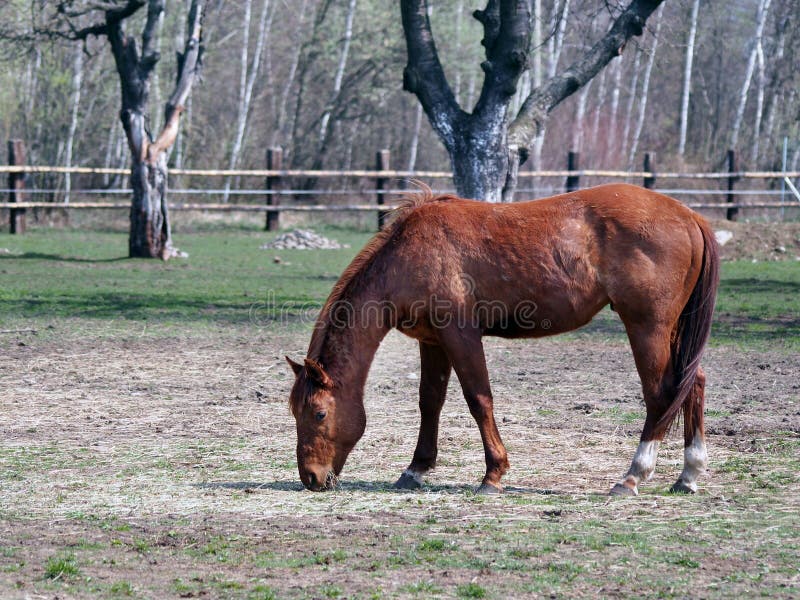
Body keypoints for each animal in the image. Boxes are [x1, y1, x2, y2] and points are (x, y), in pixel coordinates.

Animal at [287, 183, 719, 496]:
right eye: (295, 411)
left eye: (319, 413)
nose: (310, 477)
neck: (408, 255)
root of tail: (689, 215)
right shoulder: (432, 341)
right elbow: (430, 401)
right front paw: (416, 469)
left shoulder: (460, 335)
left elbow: (479, 399)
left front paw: (493, 475)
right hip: (672, 330)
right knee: (693, 383)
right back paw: (688, 475)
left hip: (647, 327)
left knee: (660, 393)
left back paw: (633, 476)